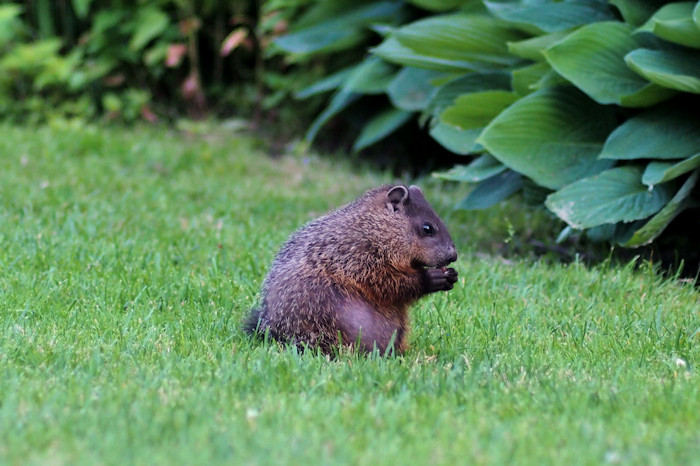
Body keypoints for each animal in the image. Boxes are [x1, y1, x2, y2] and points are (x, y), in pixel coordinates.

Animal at [244, 184, 458, 355]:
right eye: (427, 228)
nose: (453, 255)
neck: (372, 227)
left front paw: (452, 276)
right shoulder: (356, 250)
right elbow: (382, 279)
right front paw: (430, 277)